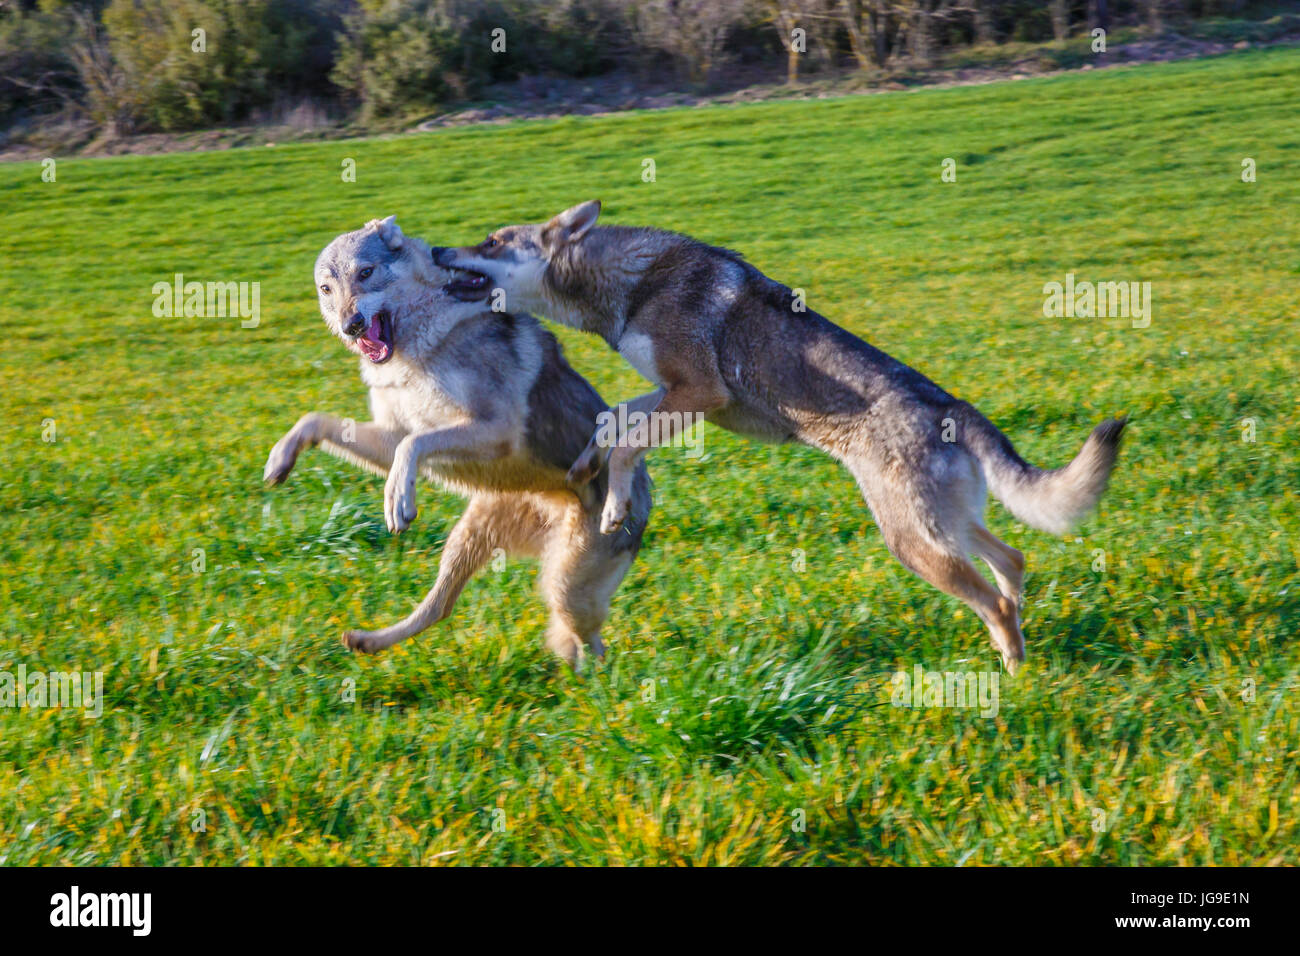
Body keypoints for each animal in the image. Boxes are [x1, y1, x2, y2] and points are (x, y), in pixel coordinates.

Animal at [262, 216, 650, 666]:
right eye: (327, 289)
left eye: (366, 273)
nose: (351, 325)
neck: (413, 355)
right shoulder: (393, 432)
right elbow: (317, 420)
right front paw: (280, 458)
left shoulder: (494, 430)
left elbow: (412, 446)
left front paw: (398, 498)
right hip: (469, 540)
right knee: (440, 607)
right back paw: (368, 641)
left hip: (566, 589)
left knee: (592, 645)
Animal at [432, 201, 1125, 672]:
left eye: (490, 240)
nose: (435, 251)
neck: (629, 284)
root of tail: (955, 406)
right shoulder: (677, 396)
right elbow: (613, 421)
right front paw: (584, 468)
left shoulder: (701, 396)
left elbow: (627, 442)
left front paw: (613, 508)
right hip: (941, 528)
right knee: (1014, 560)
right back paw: (1025, 634)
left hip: (911, 543)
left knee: (997, 599)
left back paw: (1014, 675)